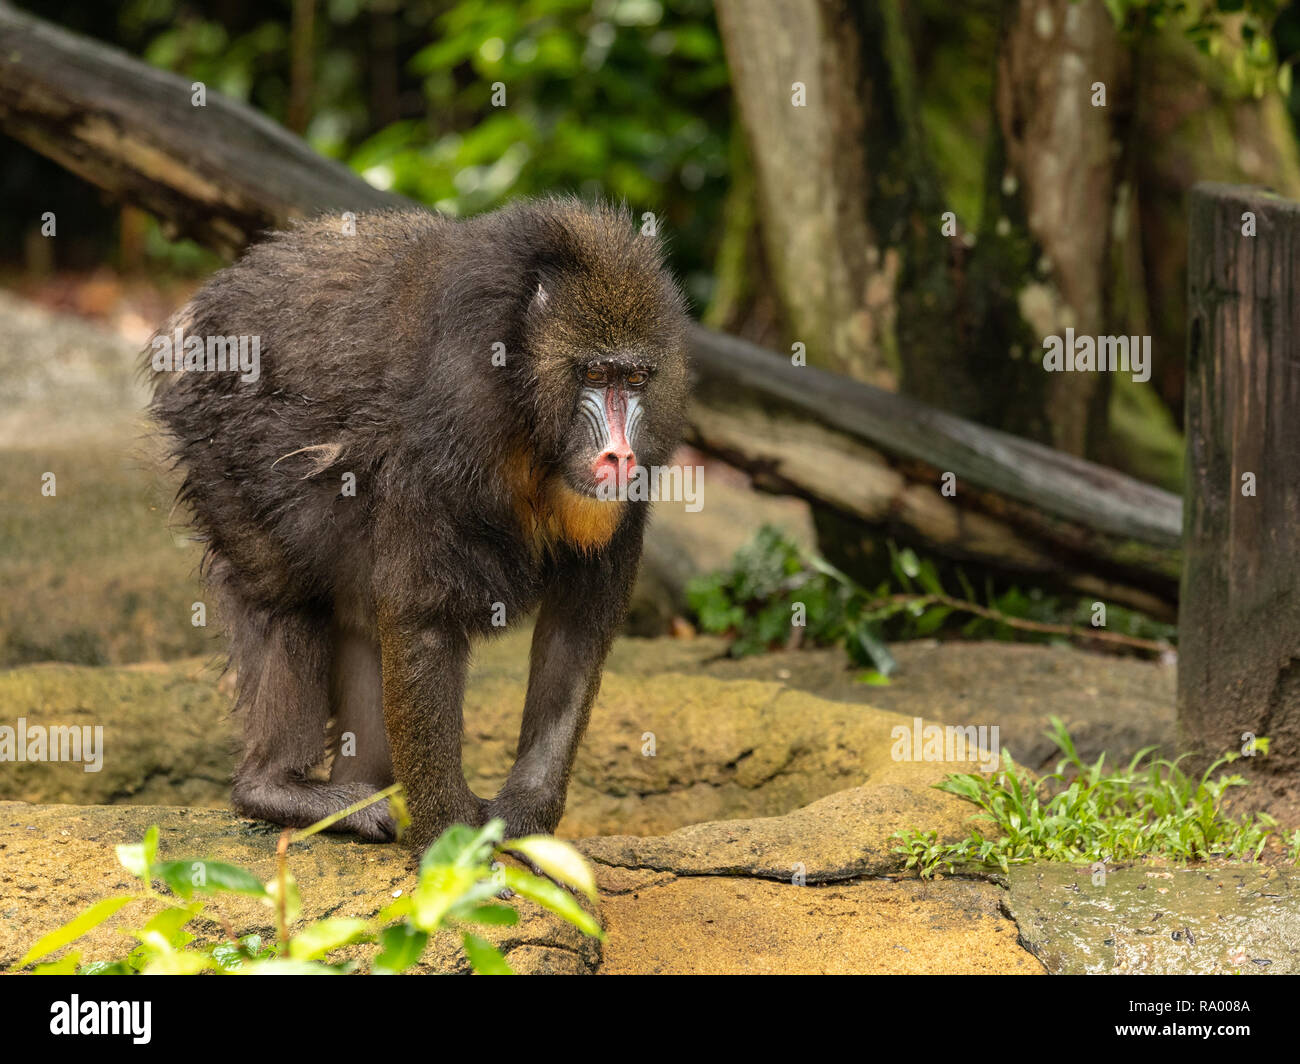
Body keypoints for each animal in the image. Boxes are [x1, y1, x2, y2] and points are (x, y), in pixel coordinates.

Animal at [147, 197, 690, 848]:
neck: (525, 401)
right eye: (593, 376)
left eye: (633, 380)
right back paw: (275, 787)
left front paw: (524, 824)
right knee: (284, 598)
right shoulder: (451, 426)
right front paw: (450, 846)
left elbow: (575, 631)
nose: (618, 456)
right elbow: (422, 617)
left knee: (360, 613)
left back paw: (361, 792)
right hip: (225, 451)